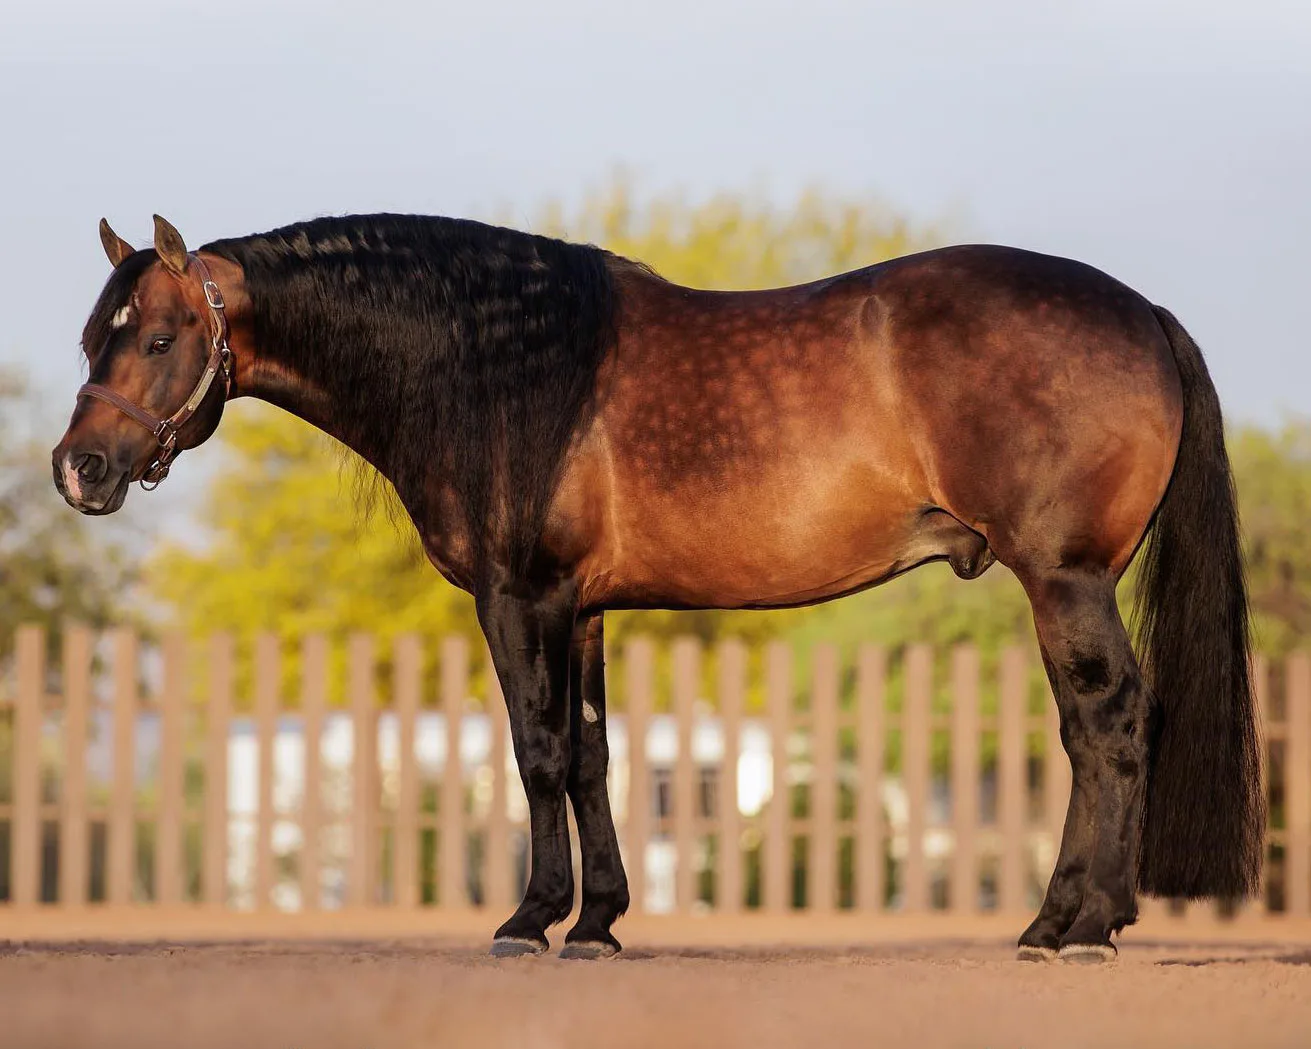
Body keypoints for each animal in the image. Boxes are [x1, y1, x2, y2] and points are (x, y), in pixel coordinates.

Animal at [53, 212, 1262, 963]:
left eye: (157, 336)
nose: (80, 470)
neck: (493, 363)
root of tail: (1142, 312)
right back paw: (1064, 919)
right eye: (90, 339)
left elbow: (536, 751)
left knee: (1107, 722)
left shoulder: (519, 596)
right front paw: (598, 923)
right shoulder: (584, 607)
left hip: (1065, 580)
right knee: (1093, 729)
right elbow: (592, 754)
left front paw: (529, 918)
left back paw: (1079, 925)